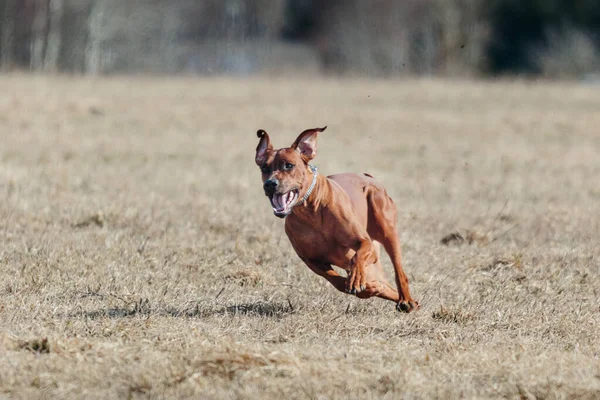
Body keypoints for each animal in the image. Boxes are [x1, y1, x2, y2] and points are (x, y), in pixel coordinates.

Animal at [255, 127, 420, 312]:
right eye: (264, 168)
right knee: (383, 283)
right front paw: (367, 287)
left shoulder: (366, 245)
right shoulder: (312, 260)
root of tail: (370, 177)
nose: (270, 184)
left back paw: (406, 300)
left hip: (386, 228)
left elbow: (358, 257)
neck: (311, 212)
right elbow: (337, 281)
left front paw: (357, 280)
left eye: (288, 165)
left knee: (399, 271)